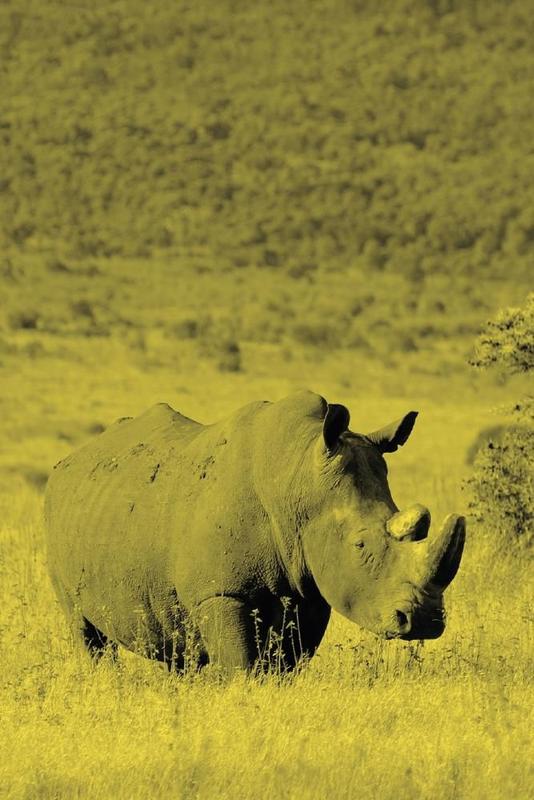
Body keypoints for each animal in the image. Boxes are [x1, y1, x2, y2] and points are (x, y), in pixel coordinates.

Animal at [44, 391, 465, 673]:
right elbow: (242, 666)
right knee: (84, 630)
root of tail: (70, 461)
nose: (425, 621)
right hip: (57, 514)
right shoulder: (220, 592)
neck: (296, 479)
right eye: (360, 544)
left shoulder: (307, 591)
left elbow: (286, 666)